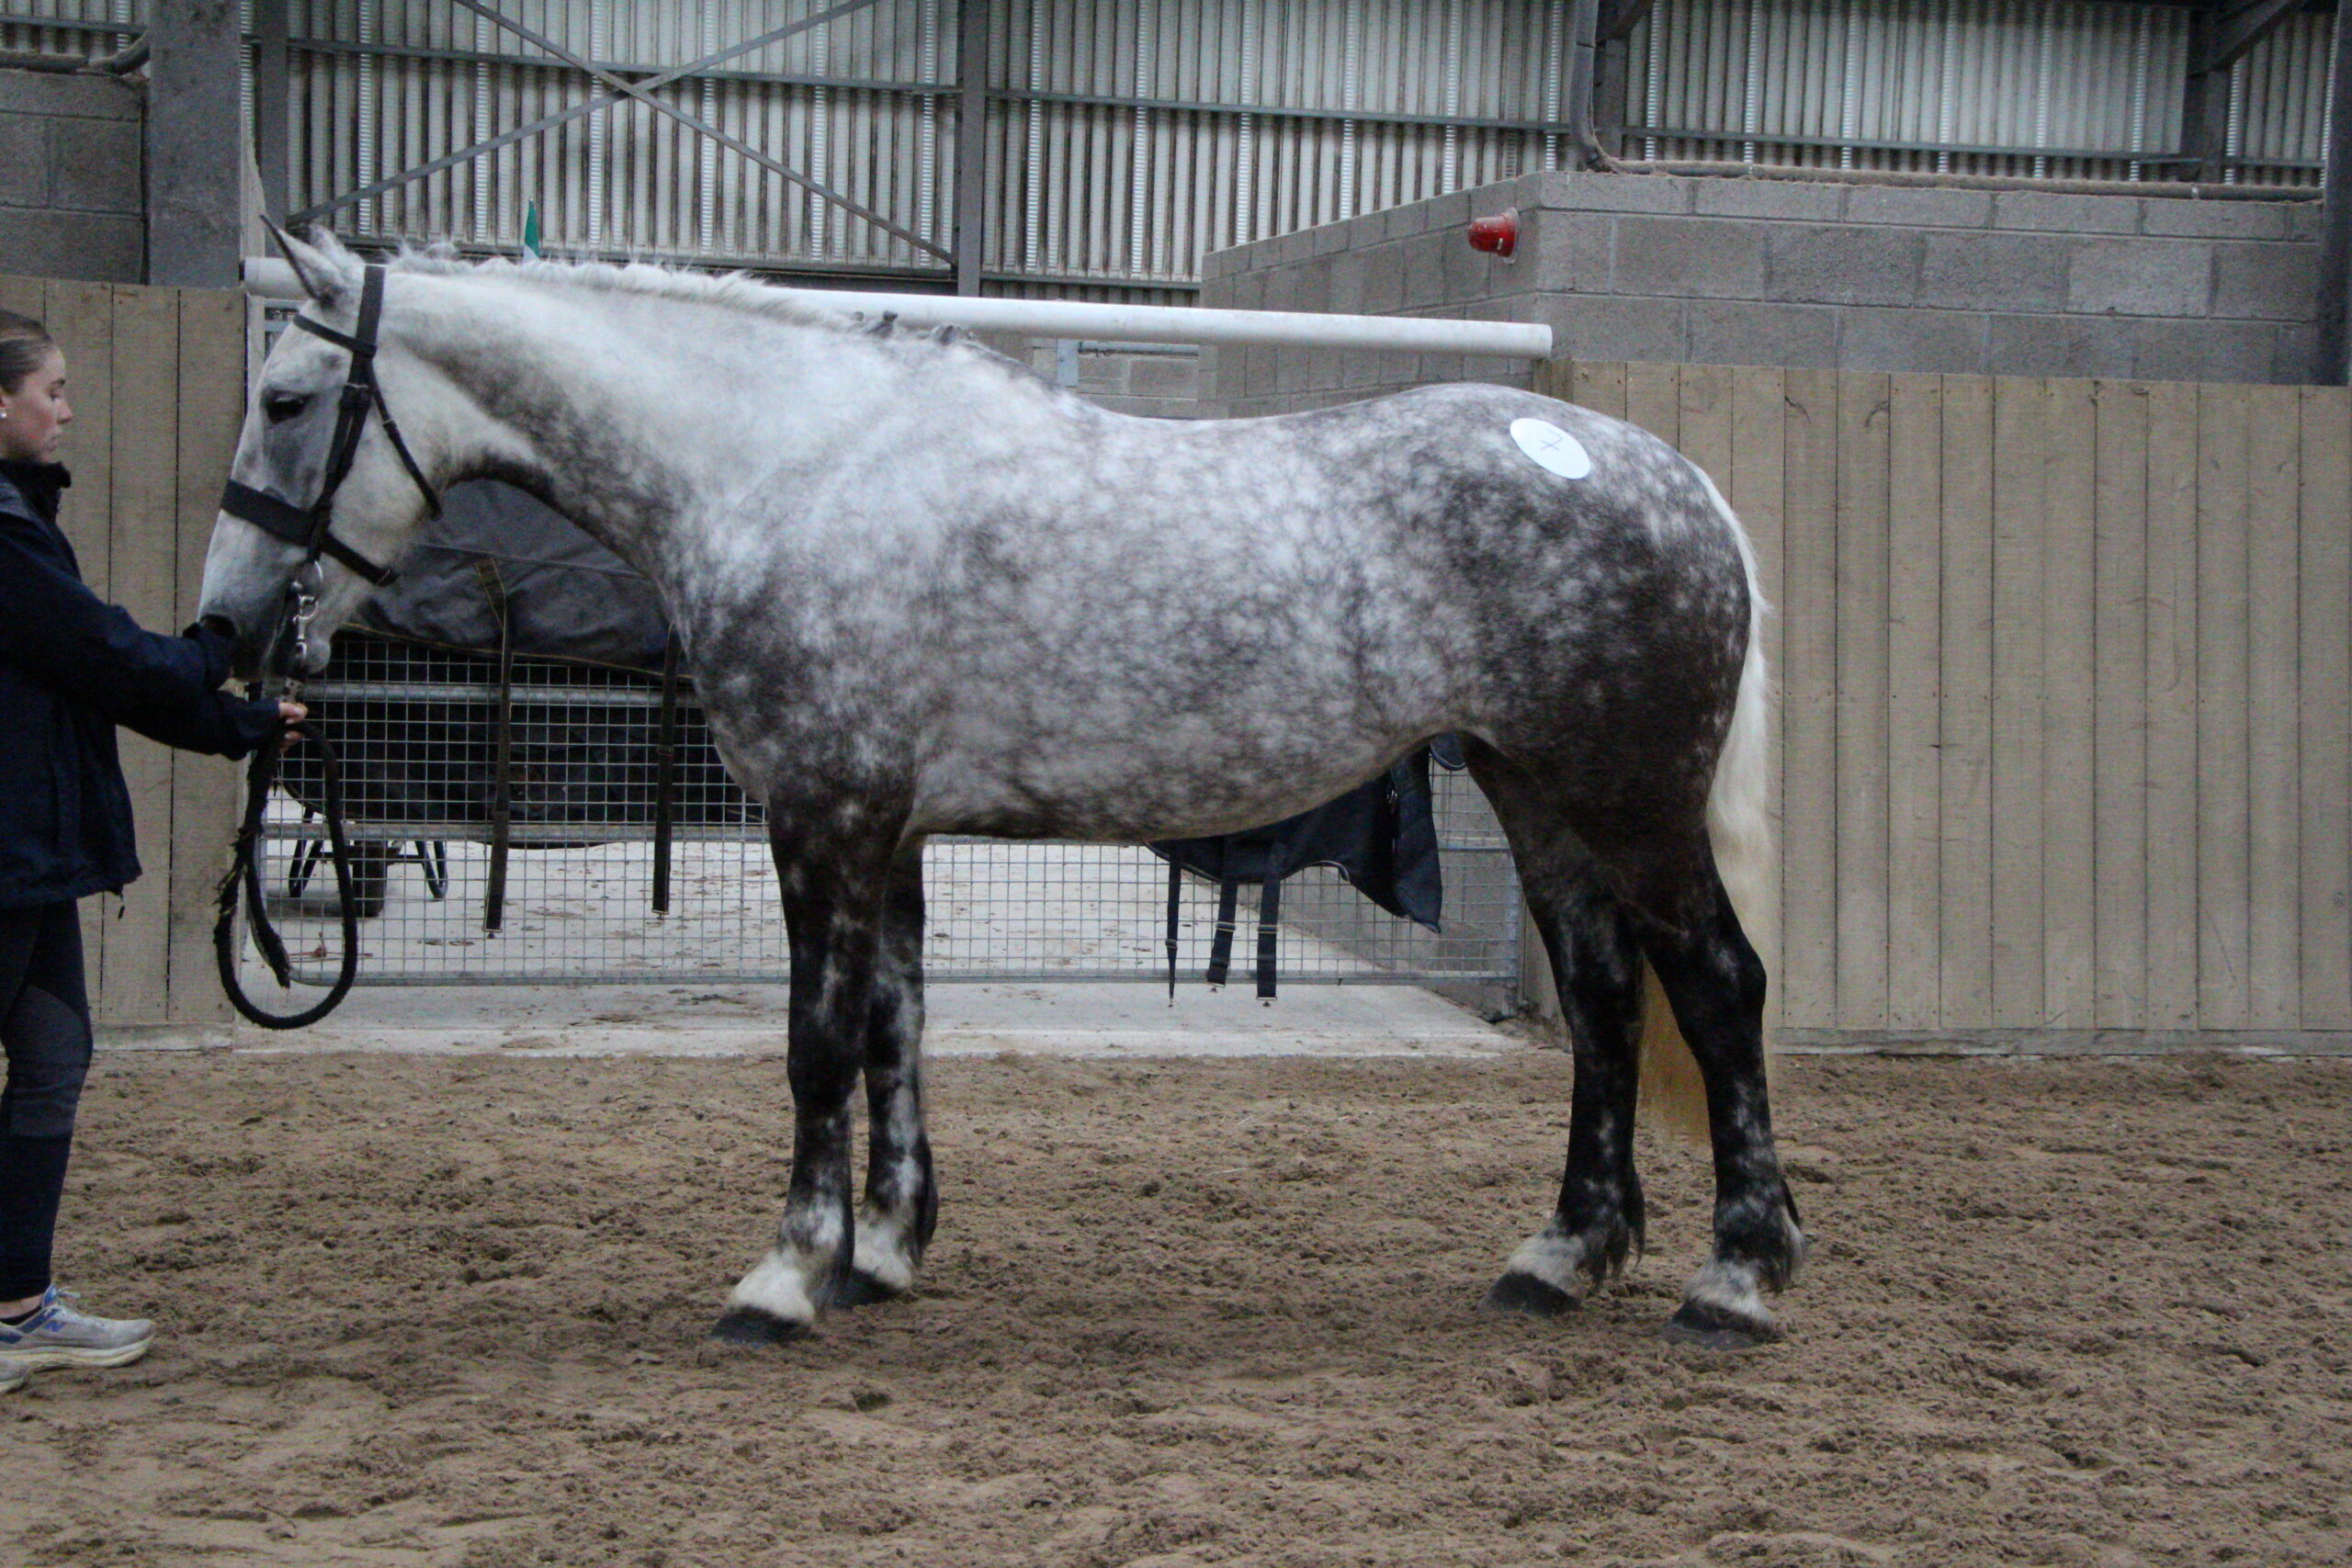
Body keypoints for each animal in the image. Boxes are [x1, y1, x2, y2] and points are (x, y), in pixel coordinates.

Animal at [197, 228, 1805, 1350]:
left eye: (286, 396)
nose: (227, 623)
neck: (793, 467)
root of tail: (1678, 481)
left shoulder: (823, 816)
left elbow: (816, 1043)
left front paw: (784, 1273)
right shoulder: (888, 829)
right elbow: (895, 1028)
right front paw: (883, 1250)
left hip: (1631, 802)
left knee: (1718, 985)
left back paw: (1737, 1275)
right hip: (1540, 795)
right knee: (1606, 1002)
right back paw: (1561, 1256)